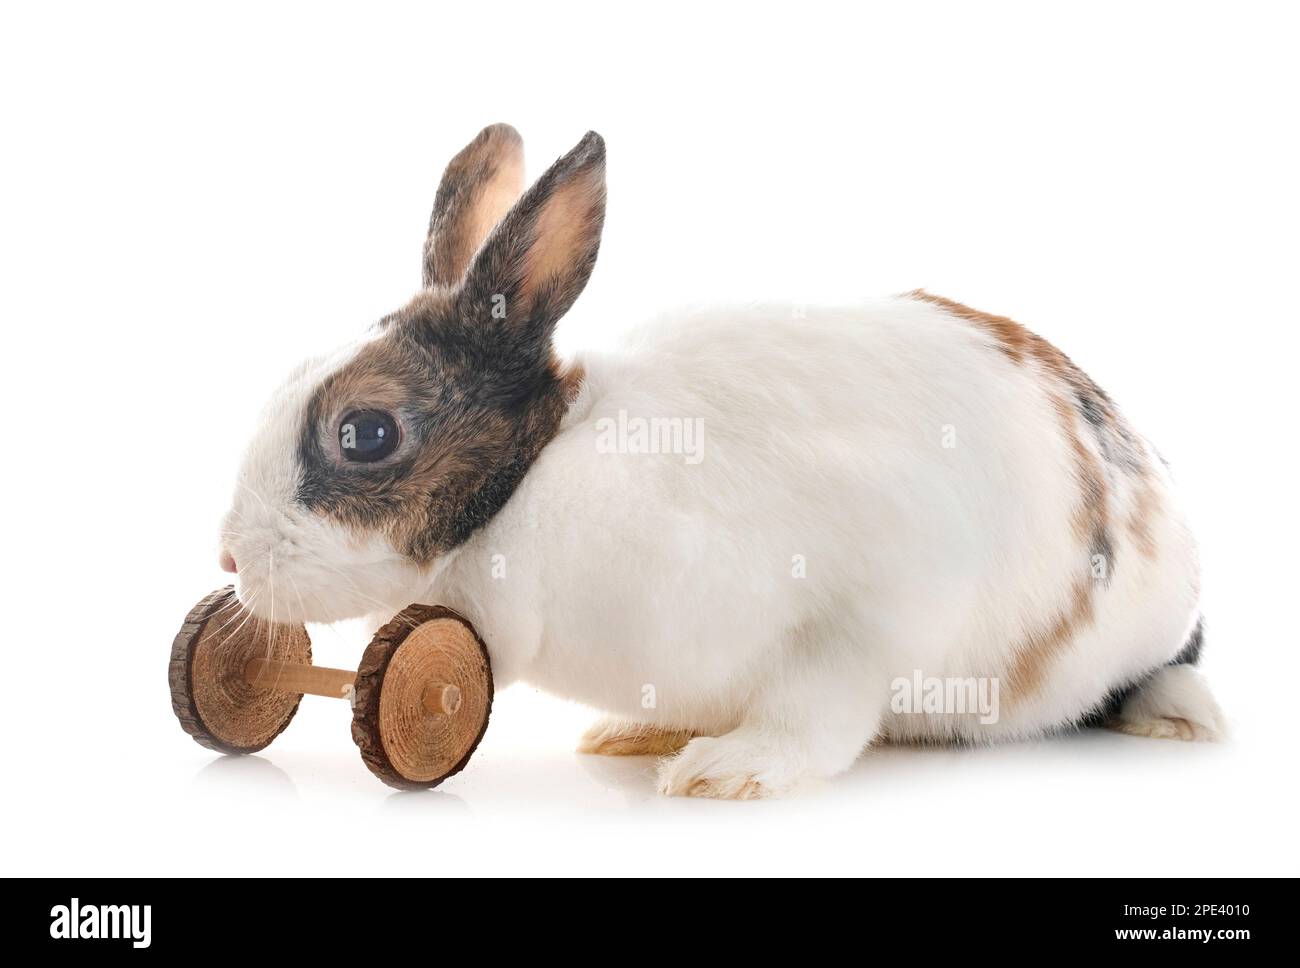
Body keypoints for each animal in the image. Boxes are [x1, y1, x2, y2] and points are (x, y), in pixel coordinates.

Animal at [219, 123, 1223, 799]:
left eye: (365, 433)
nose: (229, 556)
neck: (533, 489)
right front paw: (637, 735)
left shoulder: (868, 616)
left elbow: (812, 717)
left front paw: (727, 771)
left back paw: (1182, 719)